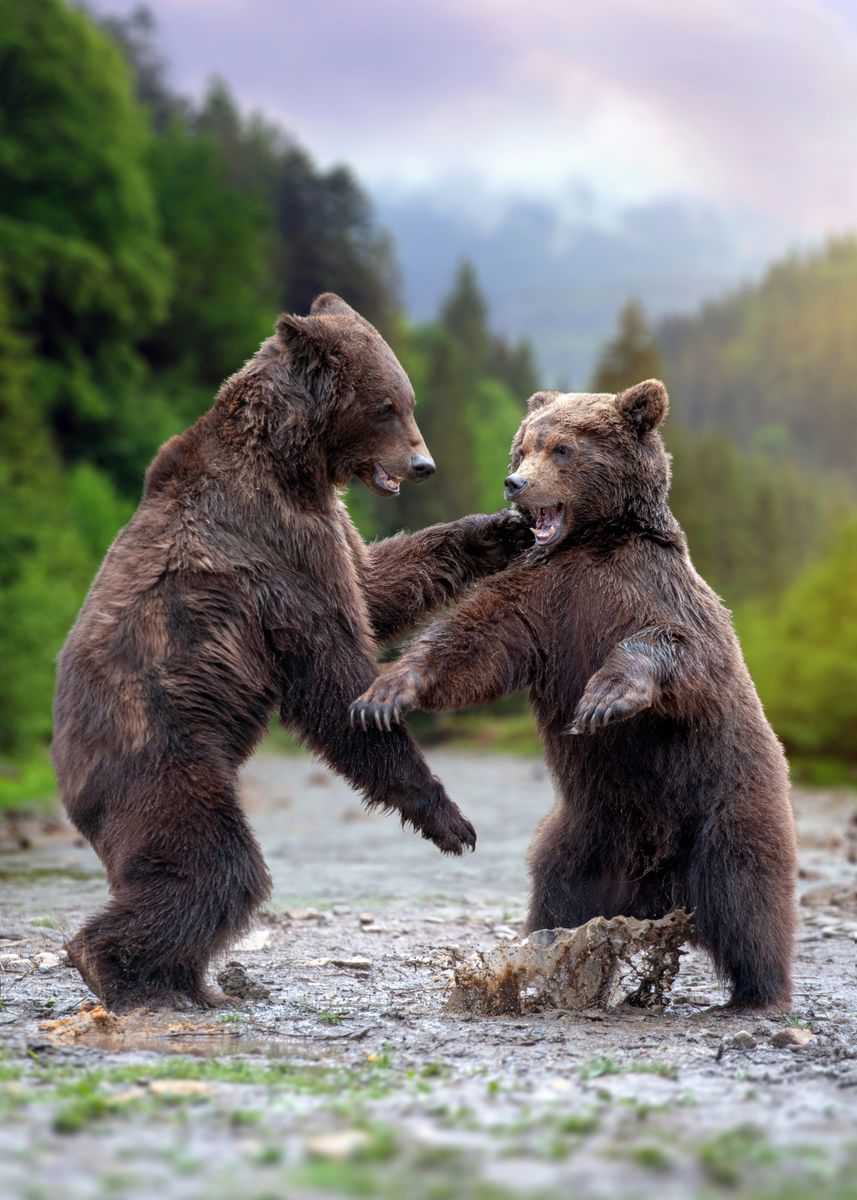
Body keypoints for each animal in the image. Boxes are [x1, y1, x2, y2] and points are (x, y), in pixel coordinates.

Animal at [52, 293, 529, 1013]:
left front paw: (500, 530)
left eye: (407, 400)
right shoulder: (277, 555)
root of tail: (65, 768)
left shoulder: (328, 528)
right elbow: (333, 673)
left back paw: (188, 984)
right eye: (387, 405)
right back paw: (119, 970)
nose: (423, 466)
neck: (294, 465)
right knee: (215, 866)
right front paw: (448, 819)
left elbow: (376, 583)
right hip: (164, 758)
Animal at [350, 380, 797, 1012]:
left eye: (562, 449)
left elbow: (678, 649)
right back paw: (541, 963)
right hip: (590, 831)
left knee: (746, 894)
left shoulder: (649, 591)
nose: (515, 482)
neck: (594, 541)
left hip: (723, 801)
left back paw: (758, 992)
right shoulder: (545, 599)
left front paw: (604, 697)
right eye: (525, 447)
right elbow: (474, 642)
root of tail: (657, 887)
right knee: (557, 893)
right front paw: (389, 689)